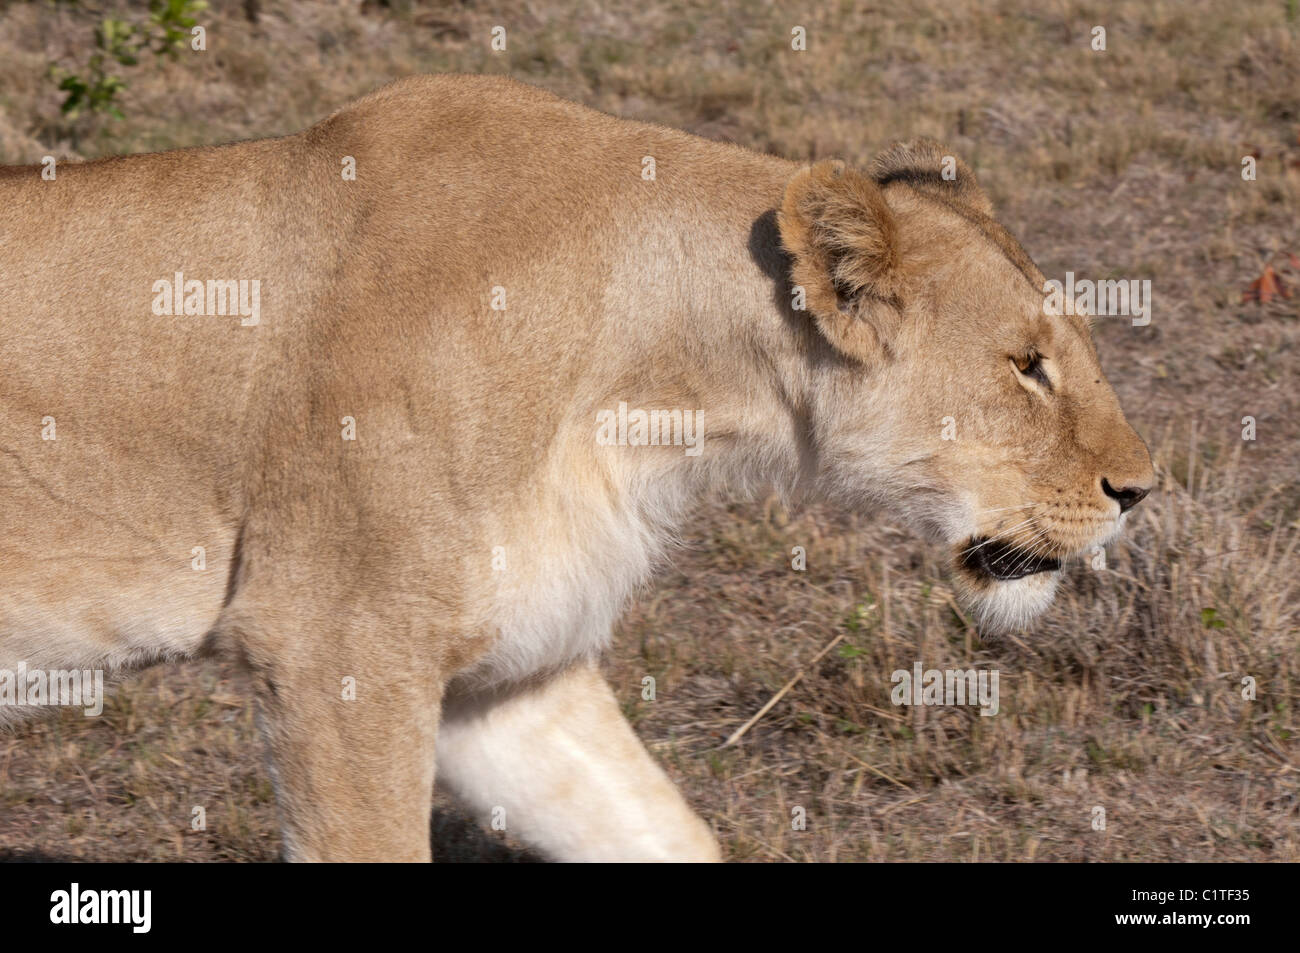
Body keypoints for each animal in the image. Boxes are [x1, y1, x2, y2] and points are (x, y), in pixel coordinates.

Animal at [0, 74, 1152, 861]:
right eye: (1027, 365)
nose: (1139, 491)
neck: (654, 397)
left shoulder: (509, 678)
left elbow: (663, 830)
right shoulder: (334, 649)